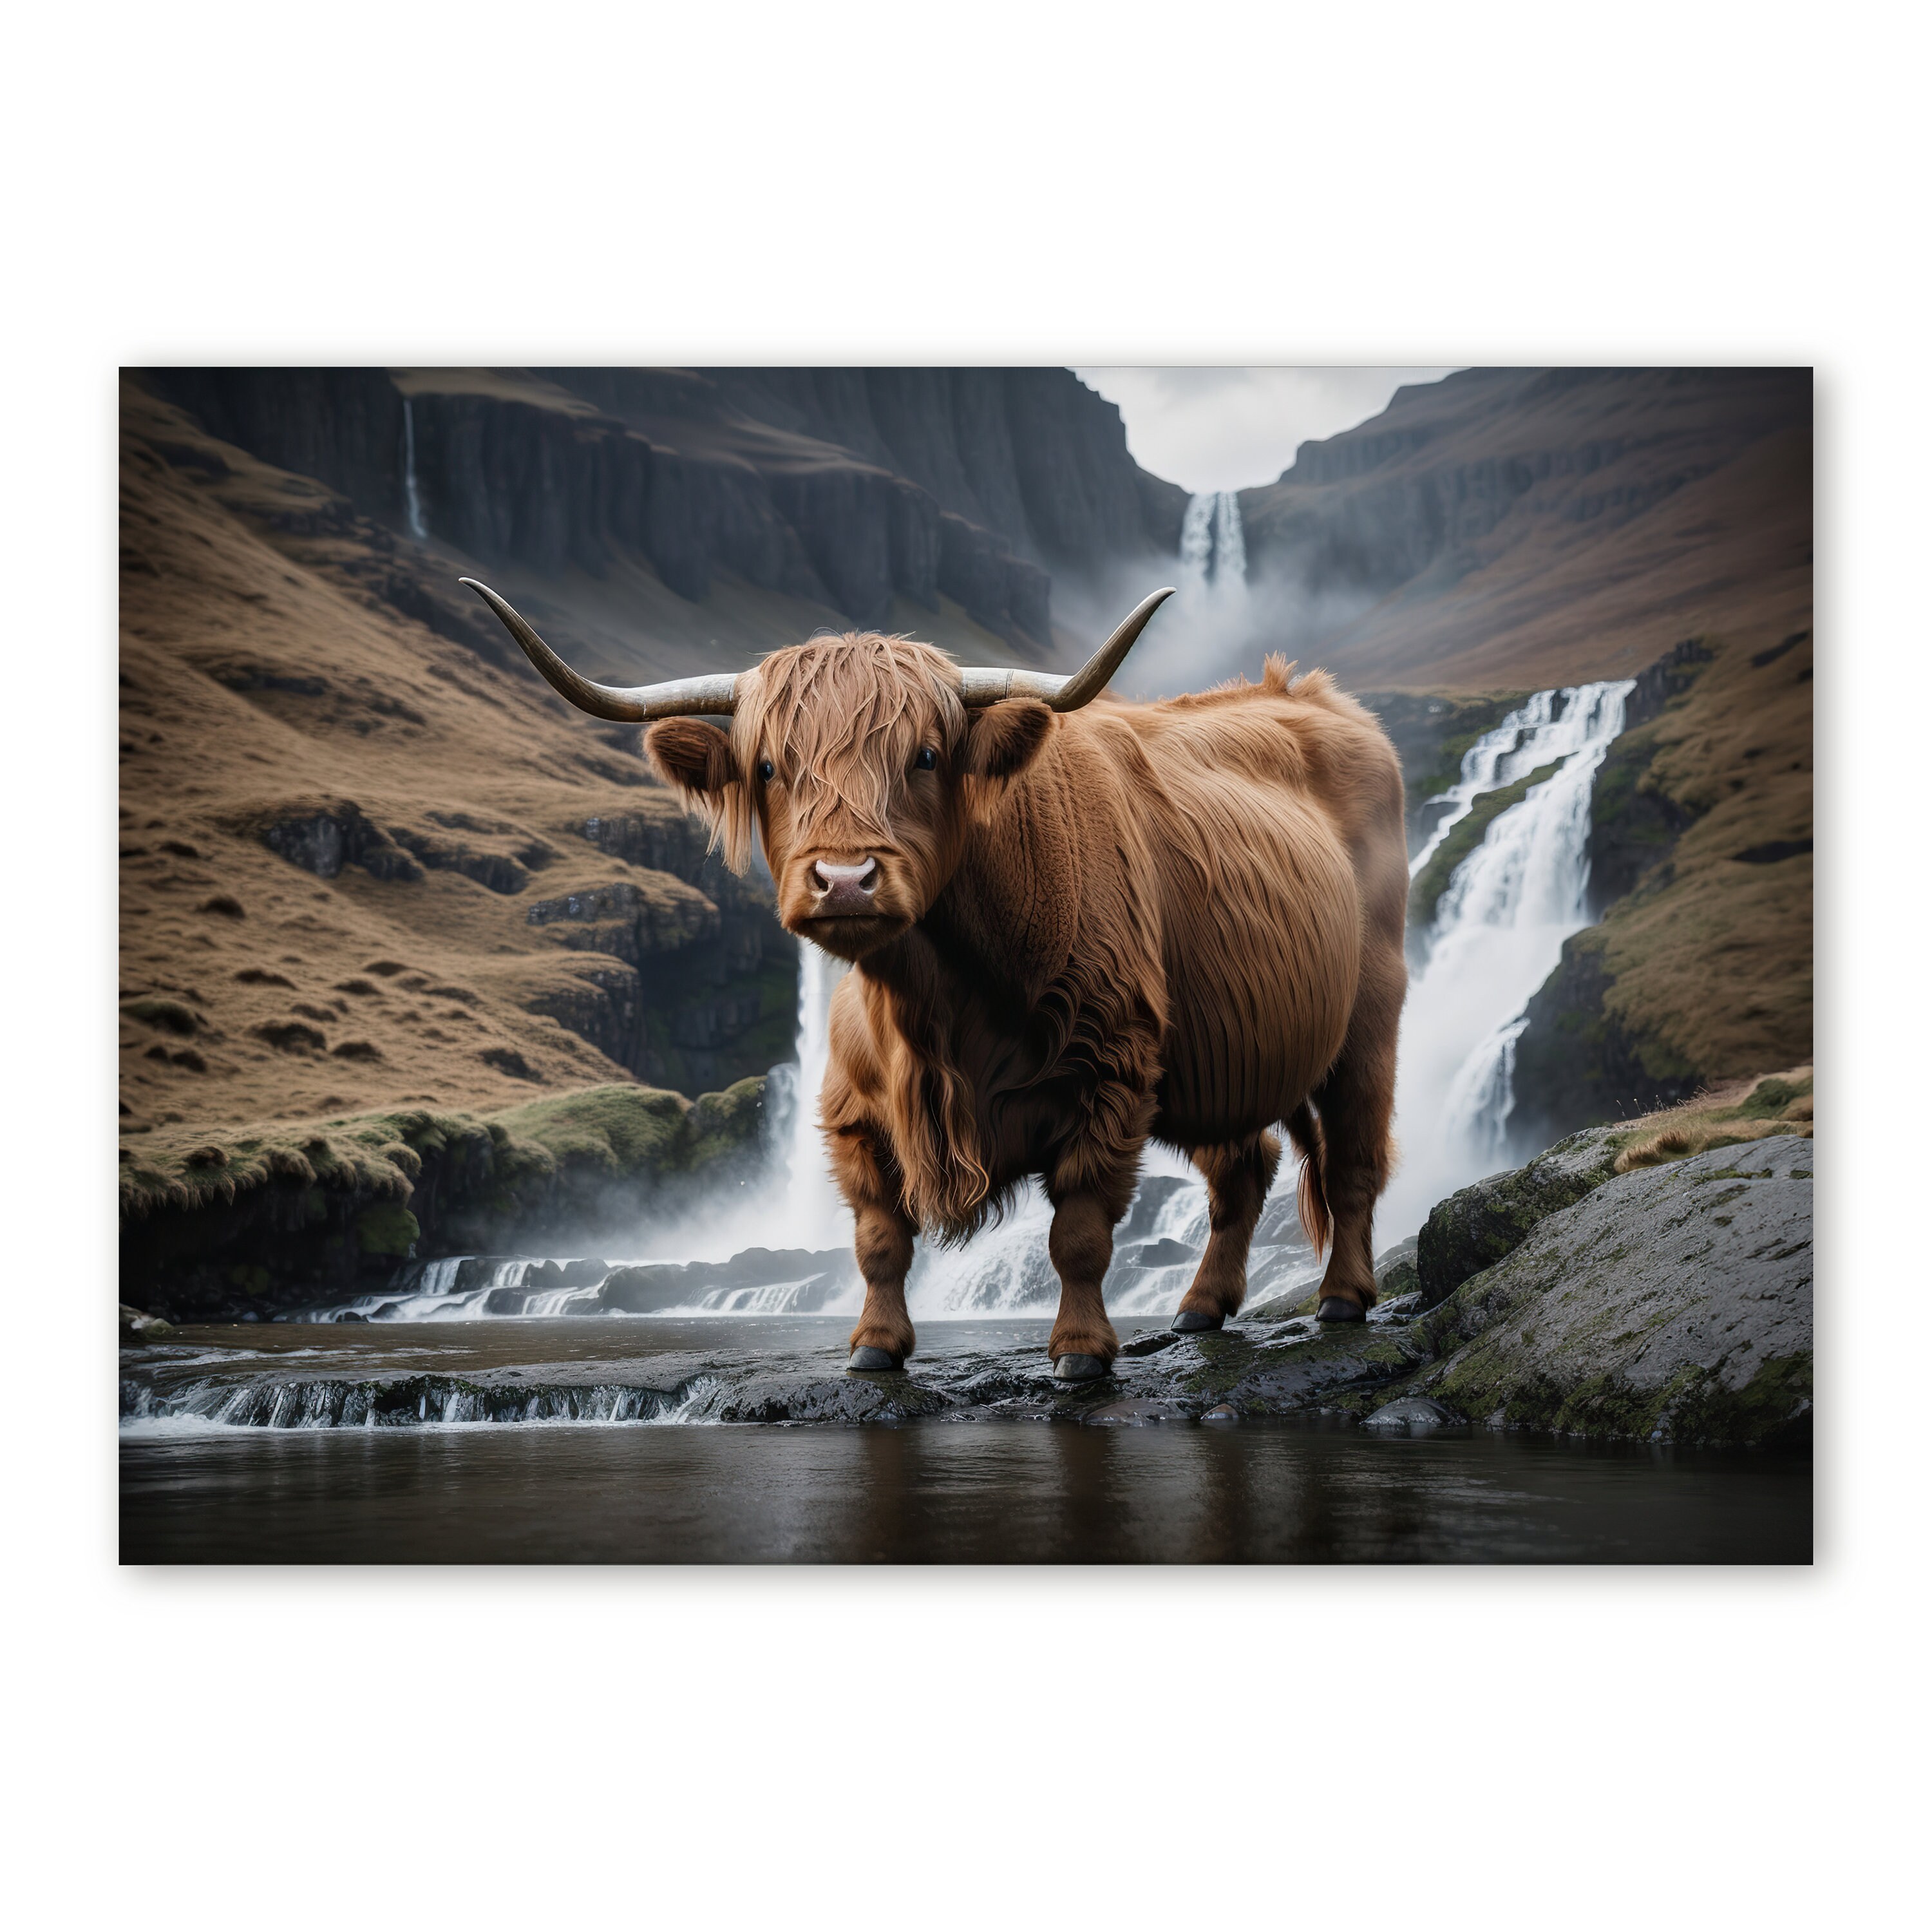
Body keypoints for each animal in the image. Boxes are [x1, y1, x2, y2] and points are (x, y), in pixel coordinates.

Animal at [464, 578, 1407, 1381]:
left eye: (924, 756)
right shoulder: (853, 1110)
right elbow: (879, 1241)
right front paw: (874, 1347)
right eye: (768, 767)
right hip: (1225, 1052)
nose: (845, 879)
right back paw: (1202, 1308)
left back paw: (1341, 1300)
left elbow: (1079, 1235)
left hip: (1370, 1018)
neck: (937, 1003)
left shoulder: (1109, 1077)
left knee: (1354, 1159)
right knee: (1241, 1169)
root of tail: (1310, 696)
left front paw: (1079, 1352)